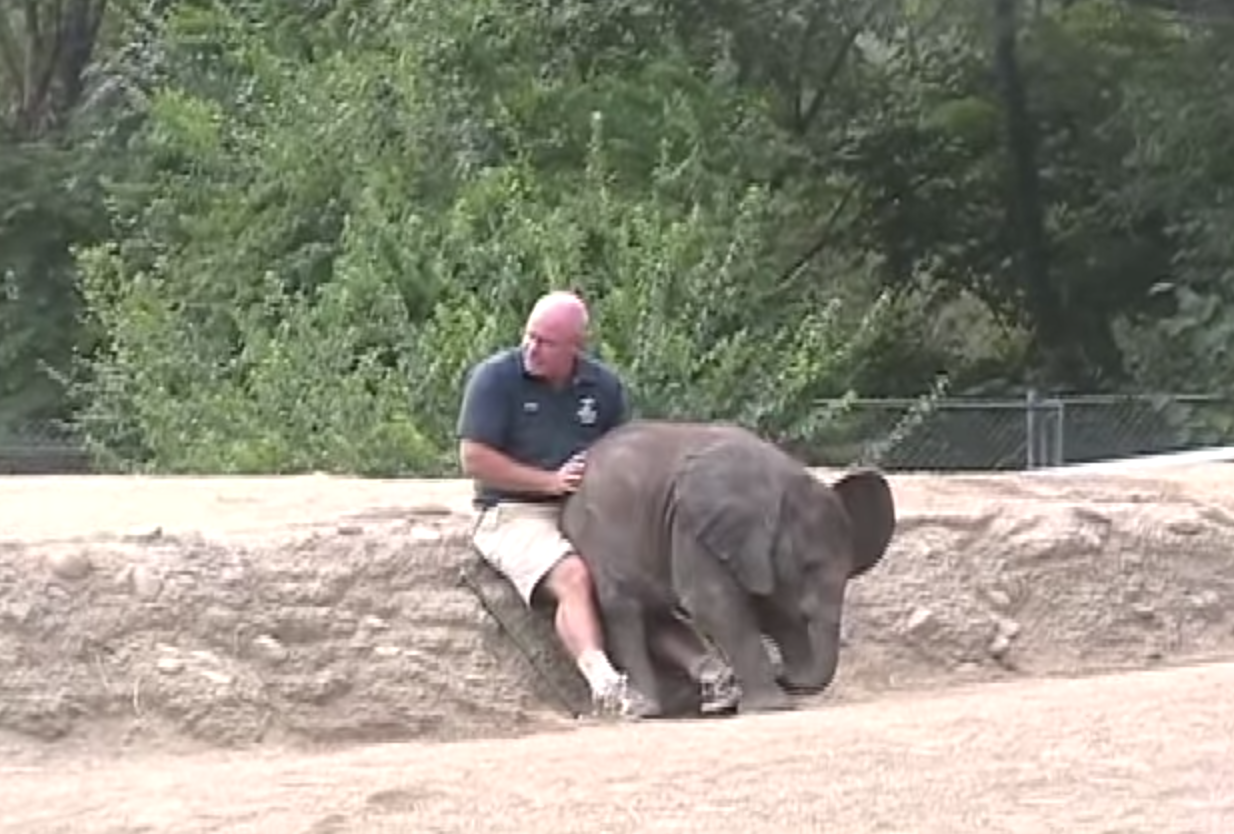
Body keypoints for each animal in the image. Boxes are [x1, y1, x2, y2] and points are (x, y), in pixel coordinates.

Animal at [562, 419, 898, 715]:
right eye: (807, 567)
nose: (783, 674)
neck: (777, 483)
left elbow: (772, 608)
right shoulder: (691, 524)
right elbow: (712, 602)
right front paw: (771, 707)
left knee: (653, 613)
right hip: (597, 532)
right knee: (624, 608)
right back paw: (644, 710)